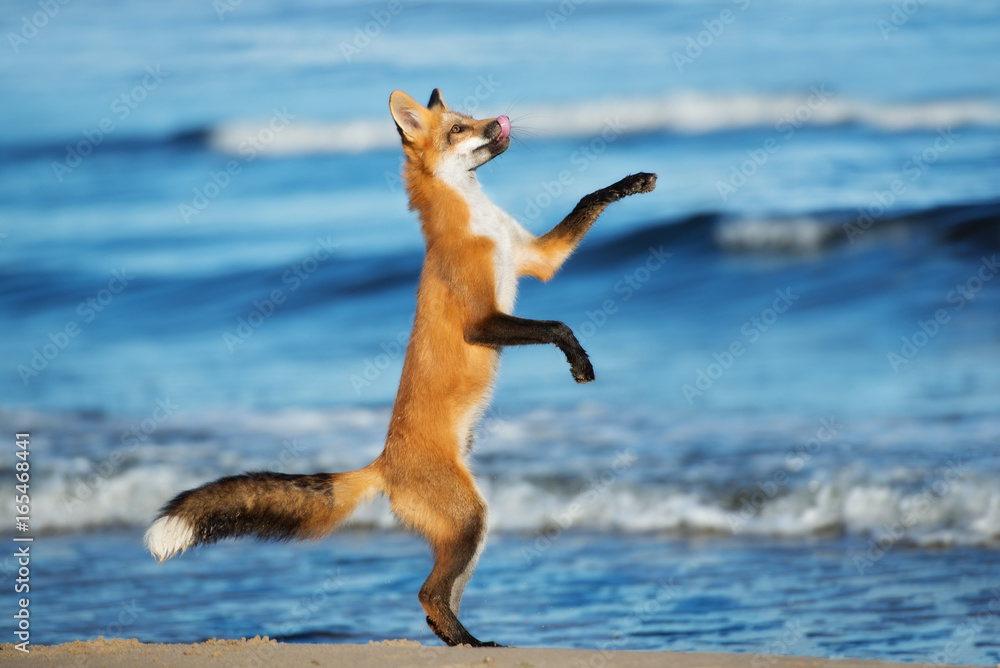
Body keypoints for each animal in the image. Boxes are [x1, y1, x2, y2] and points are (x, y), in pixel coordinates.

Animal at [144, 88, 656, 647]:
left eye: (469, 118)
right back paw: (472, 644)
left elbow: (586, 202)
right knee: (428, 595)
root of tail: (383, 463)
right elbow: (558, 326)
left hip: (468, 528)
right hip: (470, 519)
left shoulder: (539, 259)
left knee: (434, 602)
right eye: (458, 130)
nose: (501, 122)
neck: (478, 222)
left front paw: (631, 183)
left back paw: (460, 640)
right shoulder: (480, 322)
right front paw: (579, 362)